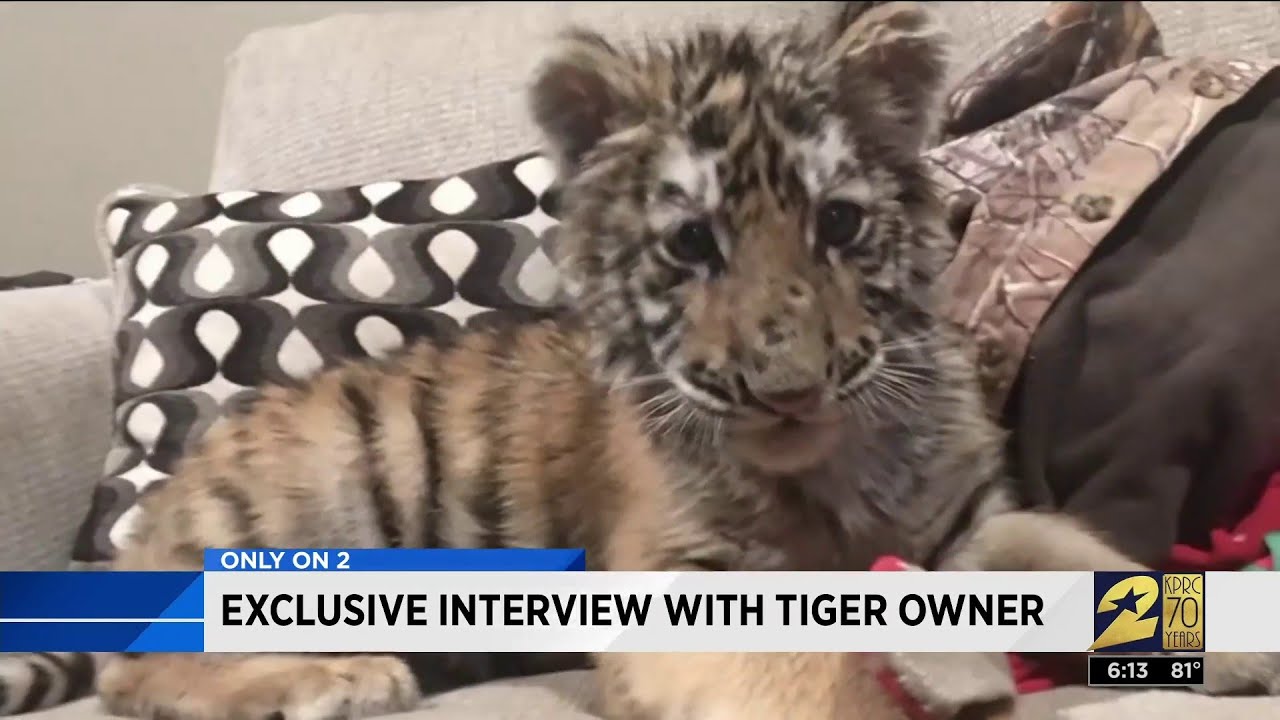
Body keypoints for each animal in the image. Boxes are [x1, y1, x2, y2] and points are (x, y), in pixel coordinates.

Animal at [3, 2, 1270, 719]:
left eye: (839, 226)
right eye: (691, 244)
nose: (786, 387)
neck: (829, 470)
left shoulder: (969, 527)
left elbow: (1085, 557)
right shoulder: (679, 579)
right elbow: (806, 677)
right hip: (305, 505)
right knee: (132, 673)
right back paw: (336, 678)